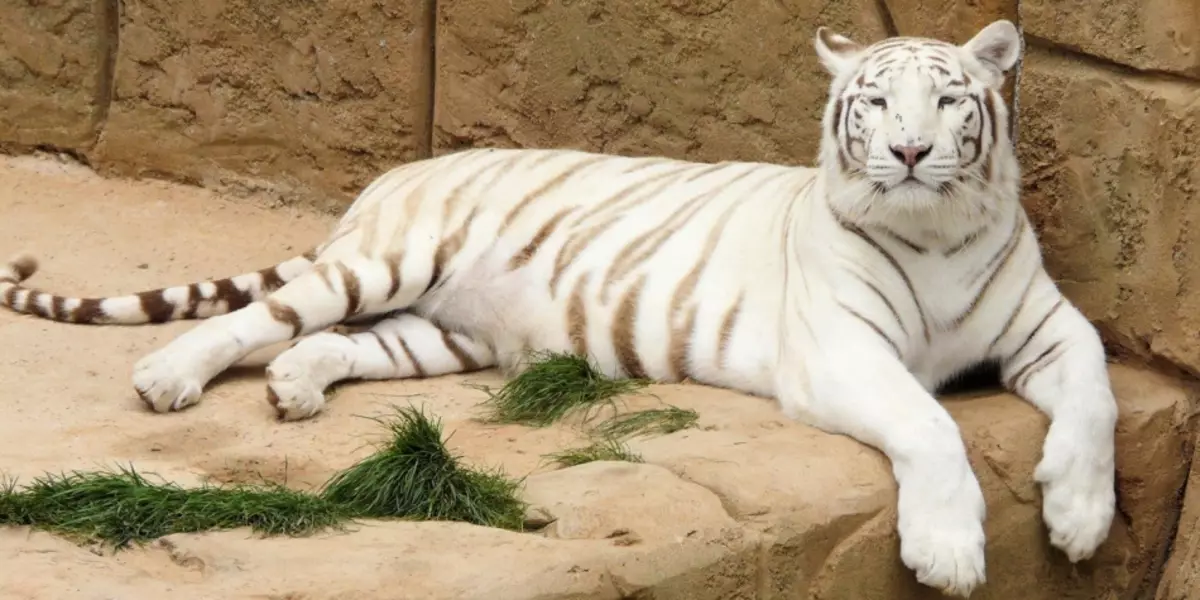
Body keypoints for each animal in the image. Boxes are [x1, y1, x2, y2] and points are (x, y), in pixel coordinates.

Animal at [0, 19, 1113, 600]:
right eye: (874, 103)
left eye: (952, 100)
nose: (912, 153)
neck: (935, 232)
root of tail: (395, 174)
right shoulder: (839, 351)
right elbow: (929, 426)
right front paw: (951, 551)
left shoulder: (1046, 327)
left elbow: (1095, 391)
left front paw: (1078, 512)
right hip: (388, 262)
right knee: (269, 314)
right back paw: (171, 377)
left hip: (439, 332)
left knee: (338, 346)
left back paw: (292, 389)